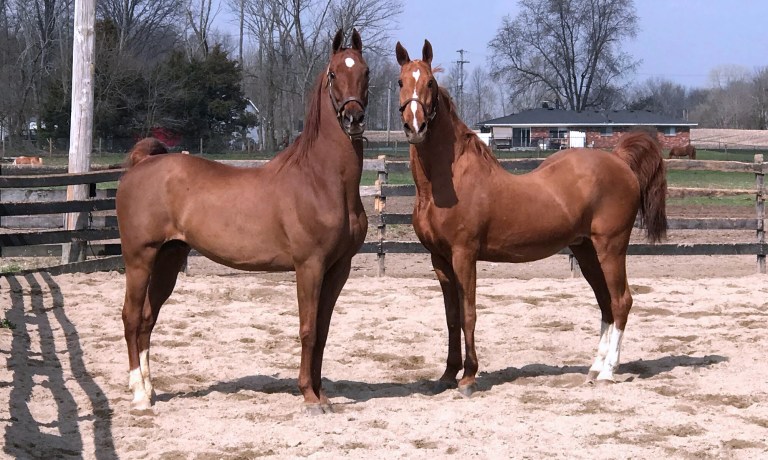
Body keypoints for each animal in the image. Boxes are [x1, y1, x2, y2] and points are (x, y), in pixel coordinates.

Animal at [116, 28, 369, 415]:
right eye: (333, 73)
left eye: (365, 72)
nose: (354, 119)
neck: (321, 180)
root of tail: (142, 164)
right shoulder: (309, 266)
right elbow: (308, 329)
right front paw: (309, 397)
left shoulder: (338, 268)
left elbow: (323, 331)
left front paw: (322, 395)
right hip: (139, 258)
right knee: (131, 317)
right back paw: (139, 395)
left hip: (168, 259)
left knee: (146, 318)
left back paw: (150, 388)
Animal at [395, 40, 668, 397]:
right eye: (400, 82)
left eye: (430, 83)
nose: (415, 126)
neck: (446, 182)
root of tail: (619, 160)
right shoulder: (439, 259)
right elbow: (451, 317)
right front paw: (447, 375)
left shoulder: (464, 255)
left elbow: (469, 314)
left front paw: (468, 378)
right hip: (585, 250)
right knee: (606, 303)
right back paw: (594, 368)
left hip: (611, 247)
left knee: (622, 301)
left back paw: (608, 371)